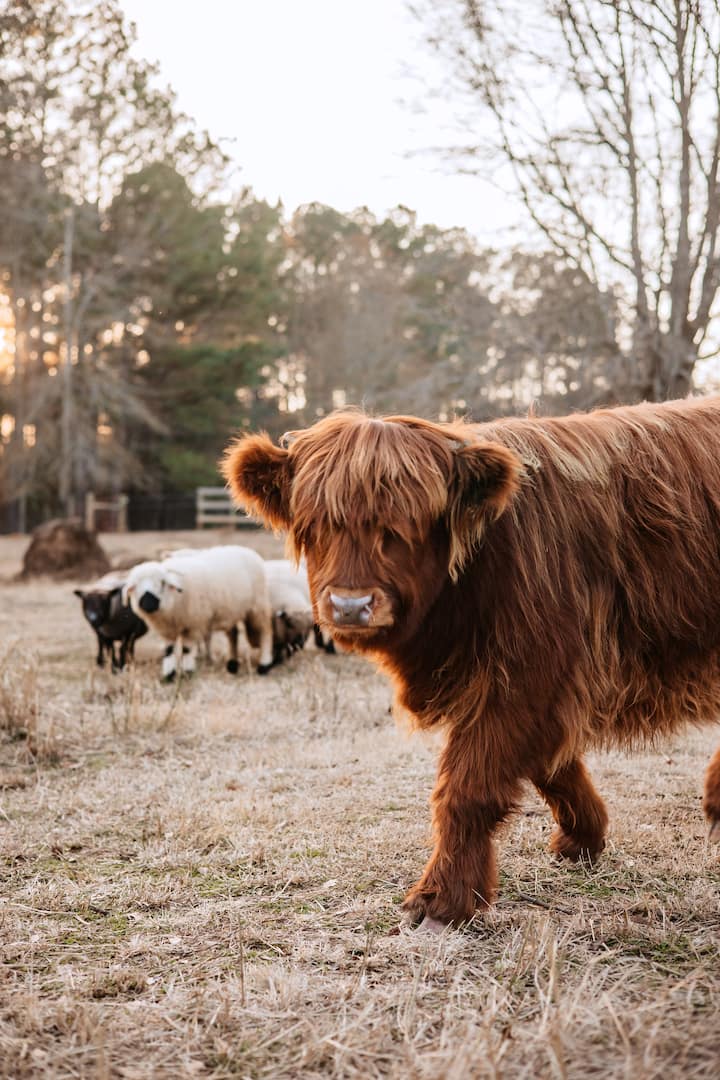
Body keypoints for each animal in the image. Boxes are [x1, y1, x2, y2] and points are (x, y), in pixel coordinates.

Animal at [221, 398, 720, 929]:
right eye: (314, 526)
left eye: (402, 528)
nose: (350, 606)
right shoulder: (531, 689)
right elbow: (551, 766)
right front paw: (584, 837)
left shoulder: (529, 674)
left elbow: (469, 786)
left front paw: (443, 899)